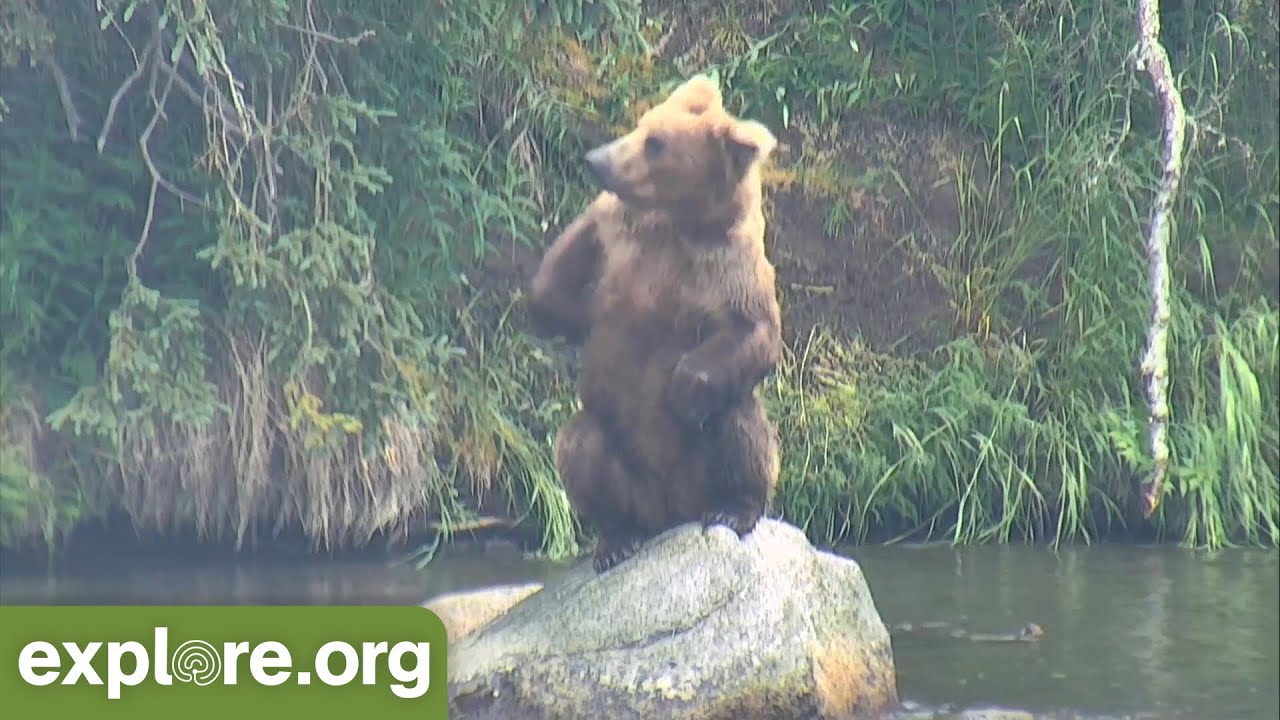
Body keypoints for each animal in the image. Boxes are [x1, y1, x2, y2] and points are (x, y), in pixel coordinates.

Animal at [526, 74, 783, 574]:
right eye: (643, 124)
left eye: (656, 142)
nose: (597, 159)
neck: (673, 221)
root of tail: (671, 516)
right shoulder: (613, 233)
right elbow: (549, 295)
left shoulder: (731, 261)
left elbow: (754, 330)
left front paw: (683, 386)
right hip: (631, 475)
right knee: (580, 442)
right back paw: (616, 539)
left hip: (701, 471)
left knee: (740, 423)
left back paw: (733, 508)